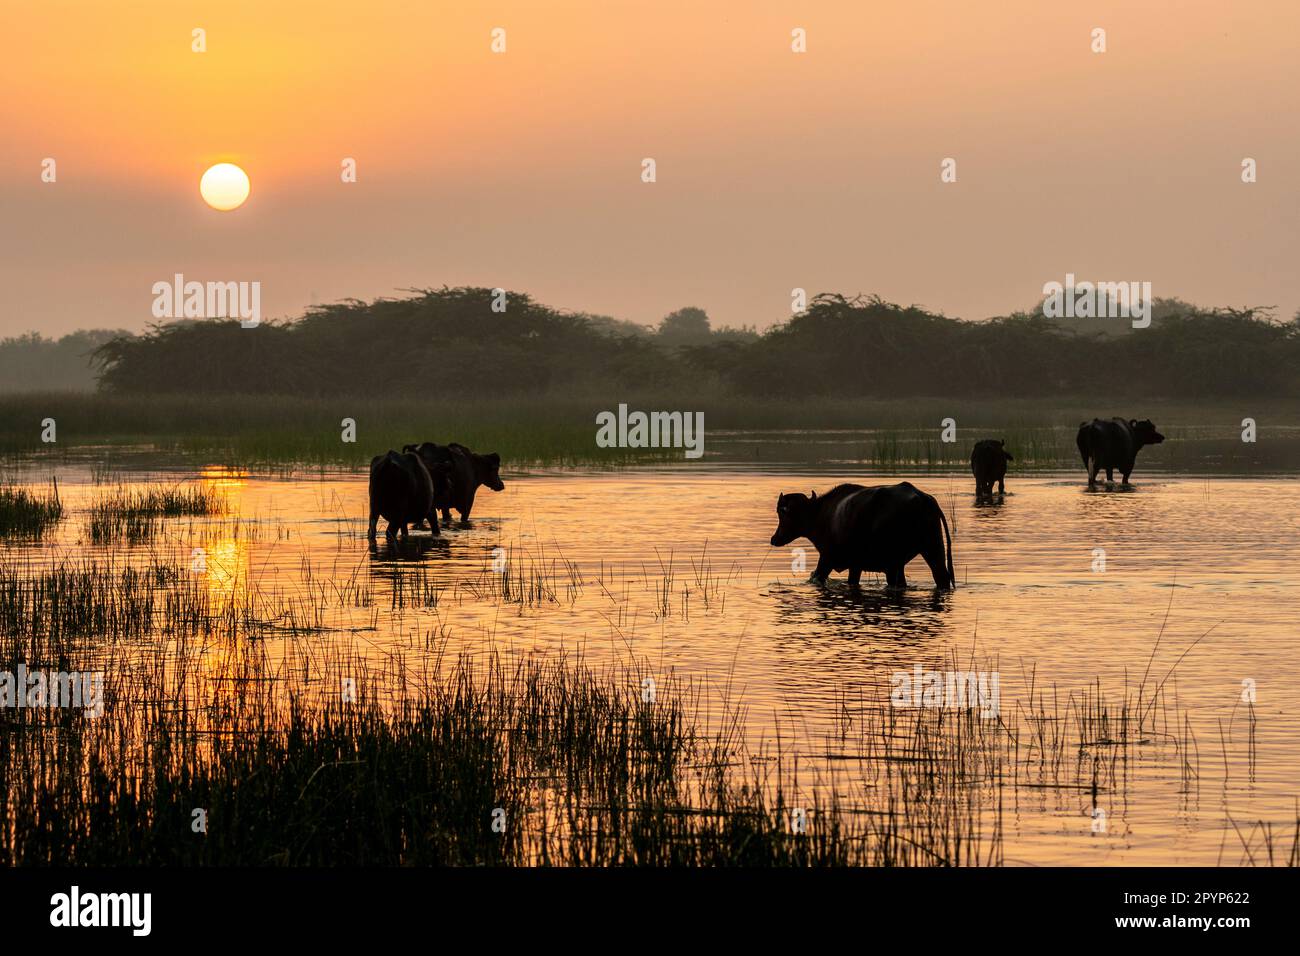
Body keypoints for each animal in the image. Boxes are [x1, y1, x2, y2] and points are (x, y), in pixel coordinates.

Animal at [769, 481, 955, 589]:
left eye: (782, 512)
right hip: (933, 548)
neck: (820, 513)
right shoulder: (855, 565)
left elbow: (817, 576)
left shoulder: (827, 558)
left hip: (894, 561)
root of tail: (922, 498)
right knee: (941, 576)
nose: (774, 538)